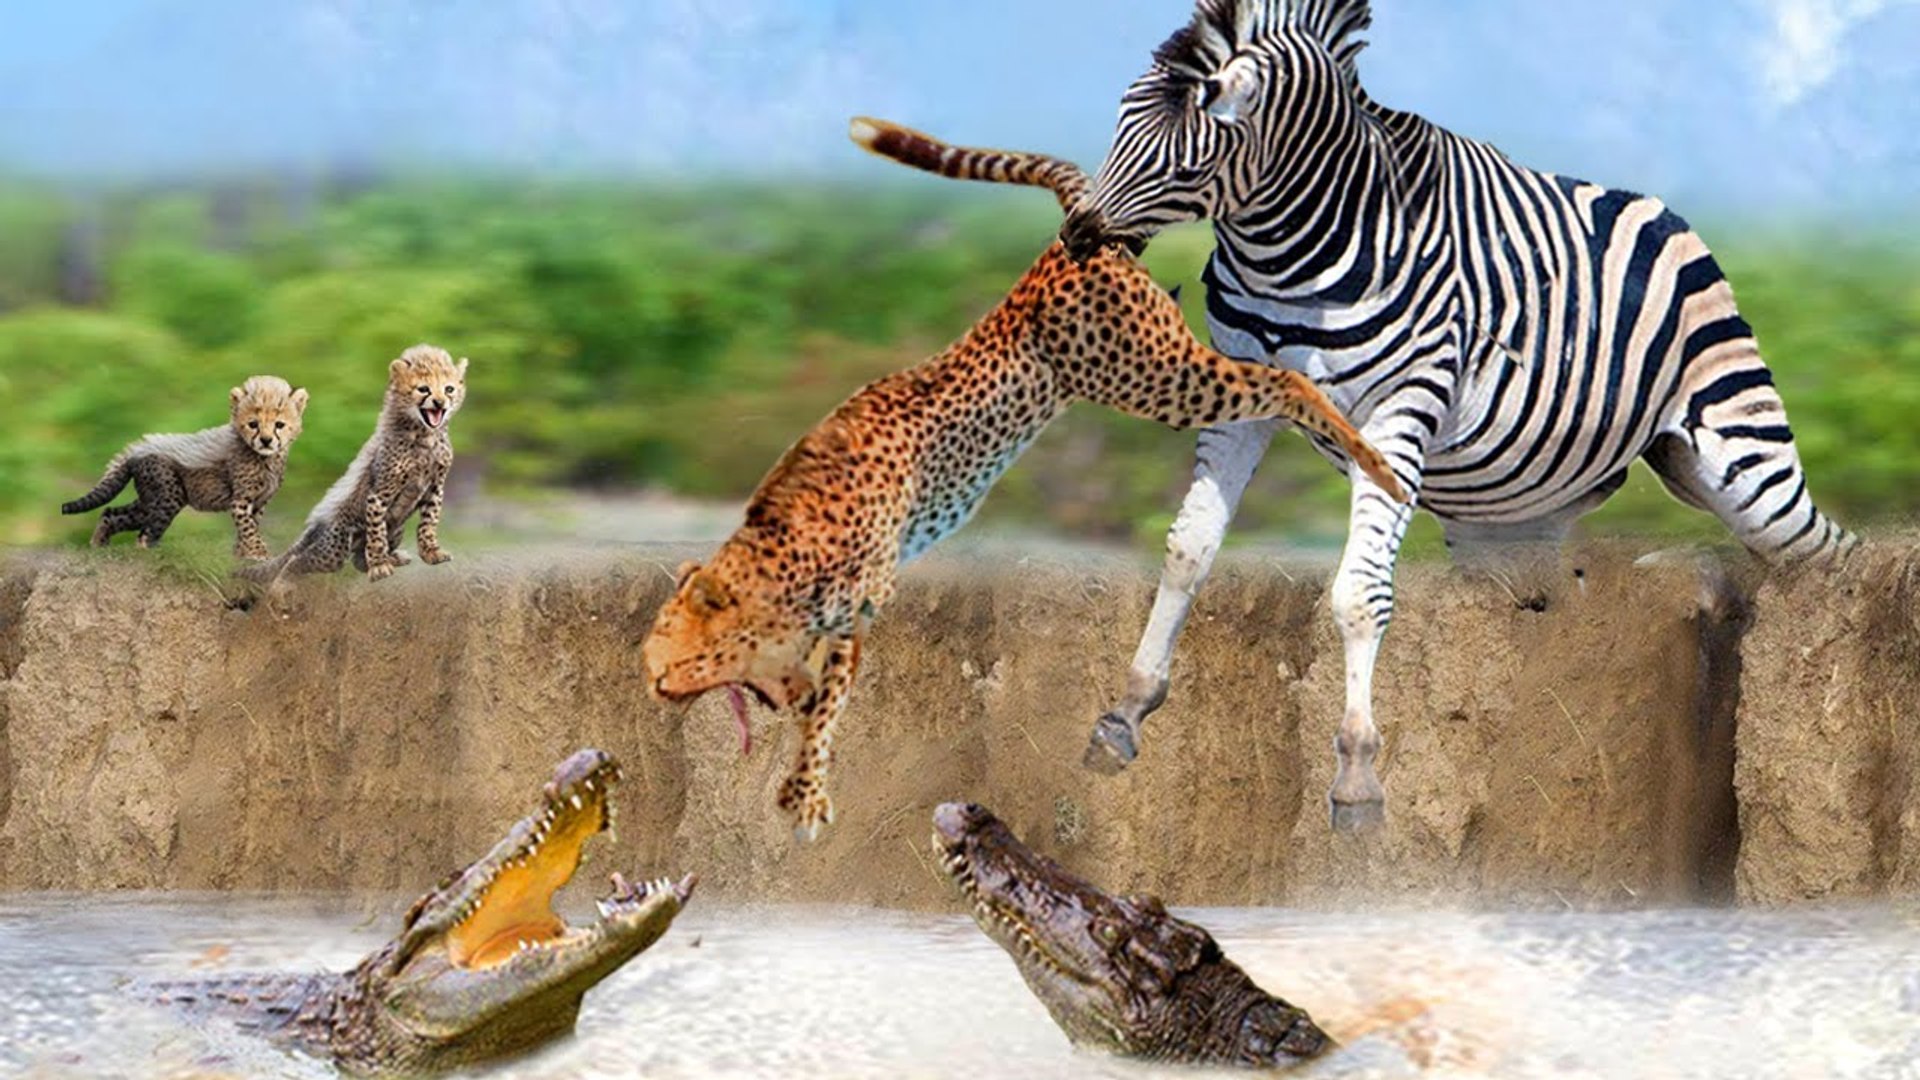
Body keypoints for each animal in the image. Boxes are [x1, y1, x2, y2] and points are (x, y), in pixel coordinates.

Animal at [1059, 0, 1858, 830]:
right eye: (1117, 123)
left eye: (1188, 165)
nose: (1077, 238)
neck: (1290, 253)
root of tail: (1659, 208)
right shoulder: (1245, 397)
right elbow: (1188, 549)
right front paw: (1124, 713)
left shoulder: (1399, 409)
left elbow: (1359, 593)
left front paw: (1357, 779)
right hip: (1511, 523)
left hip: (1743, 460)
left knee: (1821, 553)